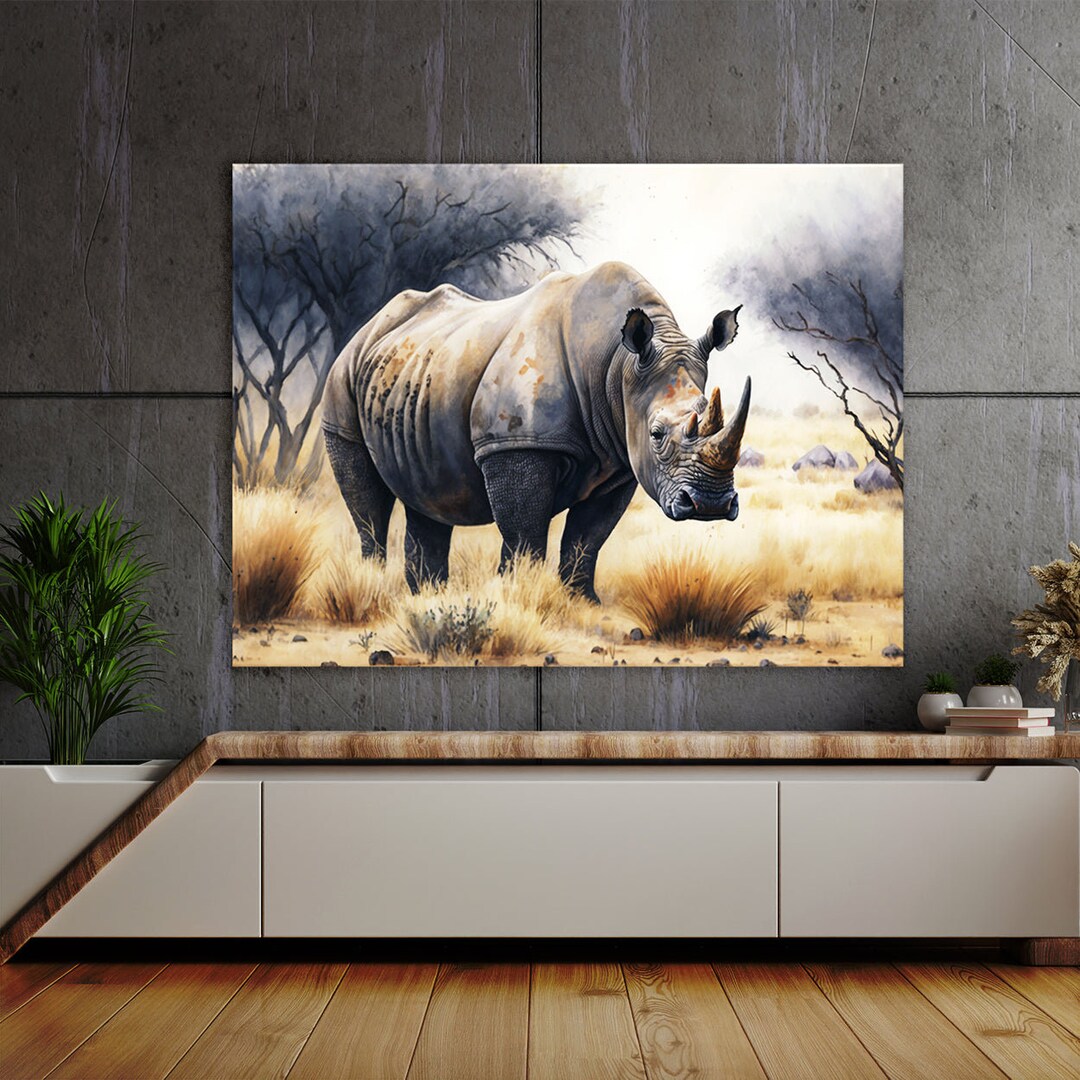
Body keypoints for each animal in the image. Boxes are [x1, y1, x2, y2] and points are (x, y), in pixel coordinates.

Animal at [321, 261, 751, 602]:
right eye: (657, 434)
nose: (709, 505)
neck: (617, 366)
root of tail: (370, 327)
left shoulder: (619, 461)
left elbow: (587, 538)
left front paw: (582, 602)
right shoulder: (516, 443)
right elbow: (524, 533)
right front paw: (516, 593)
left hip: (421, 375)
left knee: (428, 494)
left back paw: (425, 595)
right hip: (344, 376)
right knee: (367, 499)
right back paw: (374, 584)